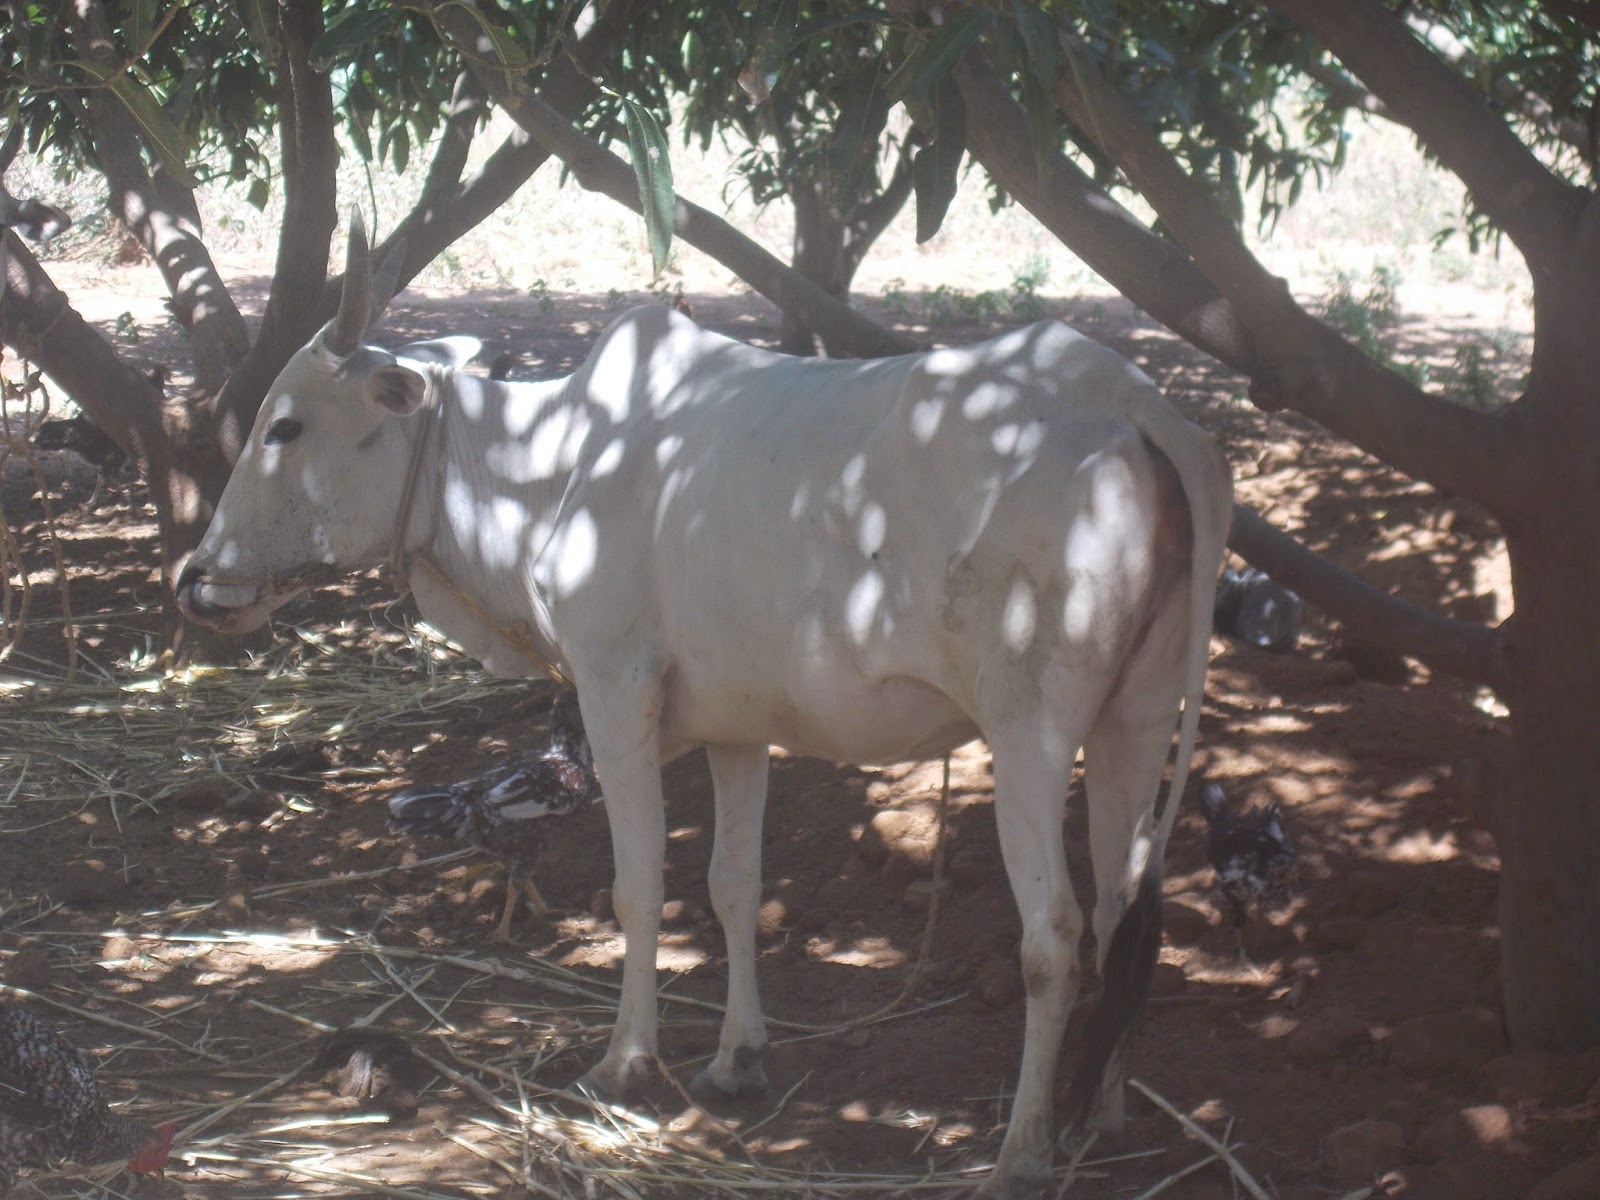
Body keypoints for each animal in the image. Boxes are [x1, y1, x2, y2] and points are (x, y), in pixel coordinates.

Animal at [177, 212, 1232, 1198]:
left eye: (285, 426)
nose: (195, 578)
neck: (546, 465)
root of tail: (1129, 399)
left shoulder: (614, 696)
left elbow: (639, 886)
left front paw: (625, 1062)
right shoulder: (738, 726)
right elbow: (733, 886)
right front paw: (736, 1060)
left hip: (1031, 734)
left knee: (1053, 935)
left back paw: (1022, 1151)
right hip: (1135, 721)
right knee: (1120, 916)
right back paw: (1104, 1112)